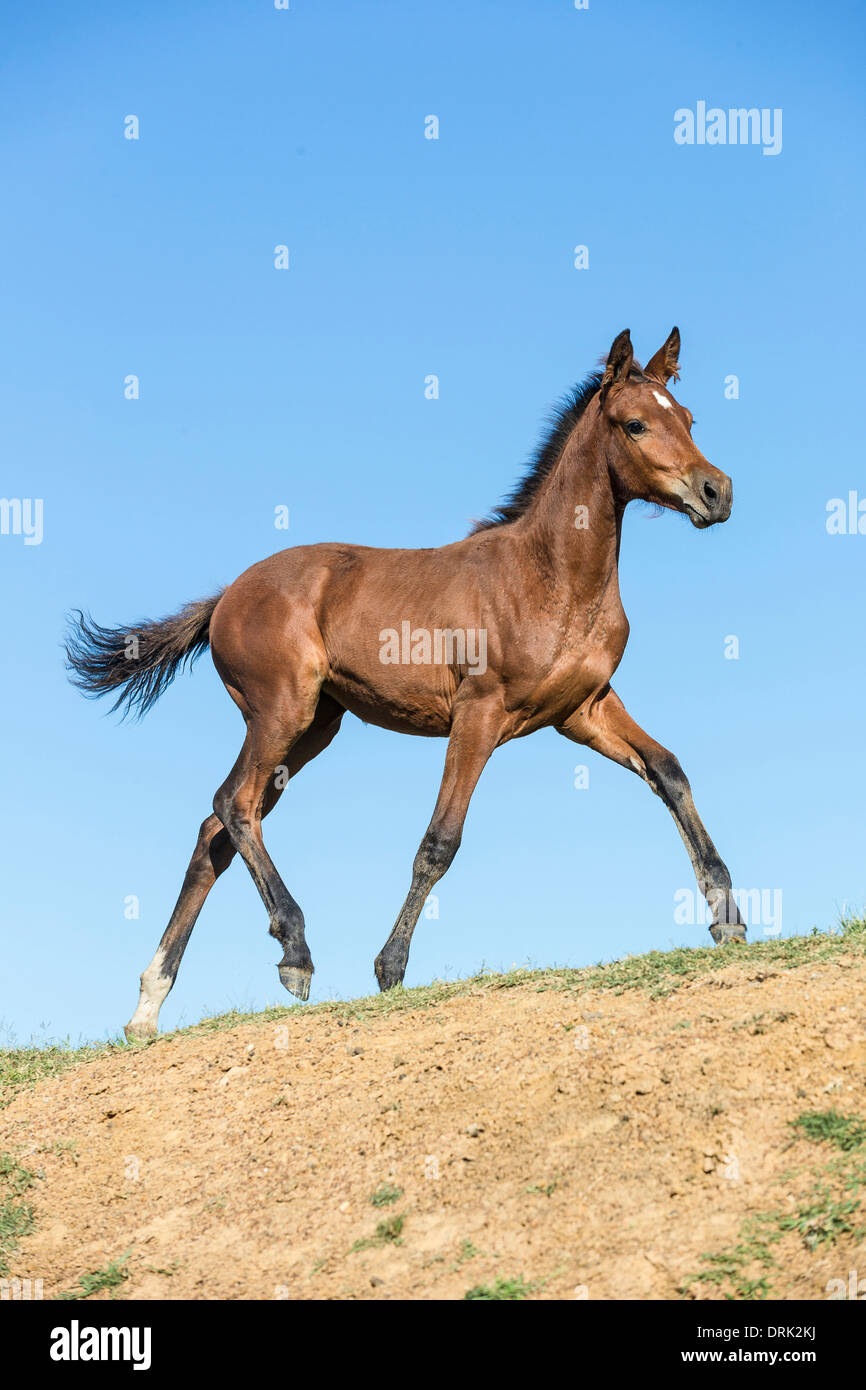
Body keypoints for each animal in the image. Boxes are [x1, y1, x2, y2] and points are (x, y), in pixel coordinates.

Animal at [66, 327, 746, 1040]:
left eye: (690, 418)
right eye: (635, 423)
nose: (716, 491)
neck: (550, 576)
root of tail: (226, 595)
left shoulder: (583, 709)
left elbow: (668, 772)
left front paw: (727, 919)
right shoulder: (480, 714)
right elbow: (439, 842)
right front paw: (390, 968)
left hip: (314, 727)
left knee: (213, 834)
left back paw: (148, 1006)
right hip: (281, 711)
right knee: (234, 805)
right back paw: (295, 953)